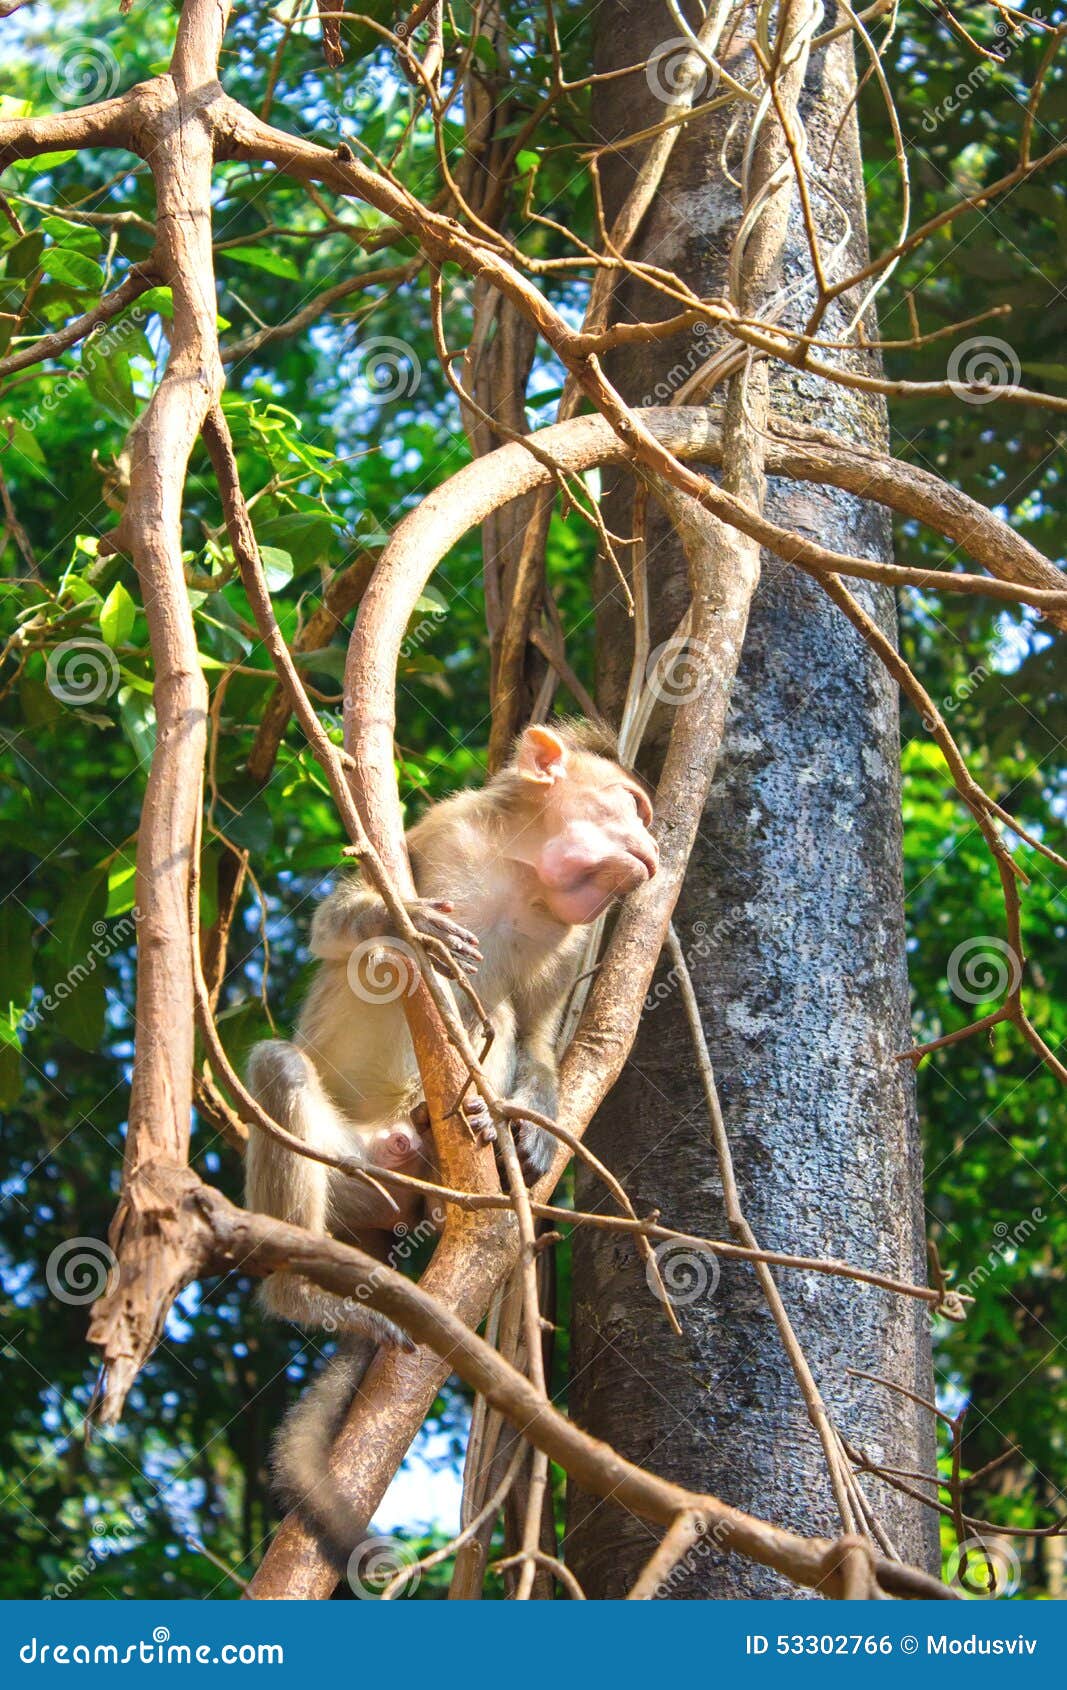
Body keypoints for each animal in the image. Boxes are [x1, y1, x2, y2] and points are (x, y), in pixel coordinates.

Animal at [243, 719, 658, 1545]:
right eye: (631, 806)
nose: (654, 851)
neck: (521, 876)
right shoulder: (440, 831)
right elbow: (334, 926)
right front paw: (392, 923)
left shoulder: (571, 938)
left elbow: (531, 1031)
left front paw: (534, 1121)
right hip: (348, 1171)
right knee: (281, 1068)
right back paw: (297, 1289)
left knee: (490, 1017)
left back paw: (454, 1146)